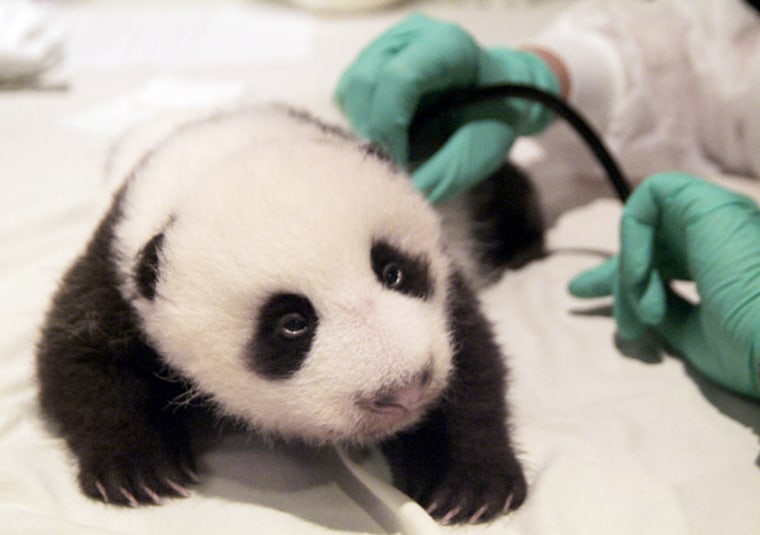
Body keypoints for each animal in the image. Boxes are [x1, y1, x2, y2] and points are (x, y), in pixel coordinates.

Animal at [36, 104, 540, 524]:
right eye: (292, 324)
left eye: (394, 272)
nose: (405, 389)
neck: (221, 152)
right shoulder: (119, 261)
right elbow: (80, 357)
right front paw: (139, 470)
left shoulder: (446, 275)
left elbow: (472, 360)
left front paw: (470, 484)